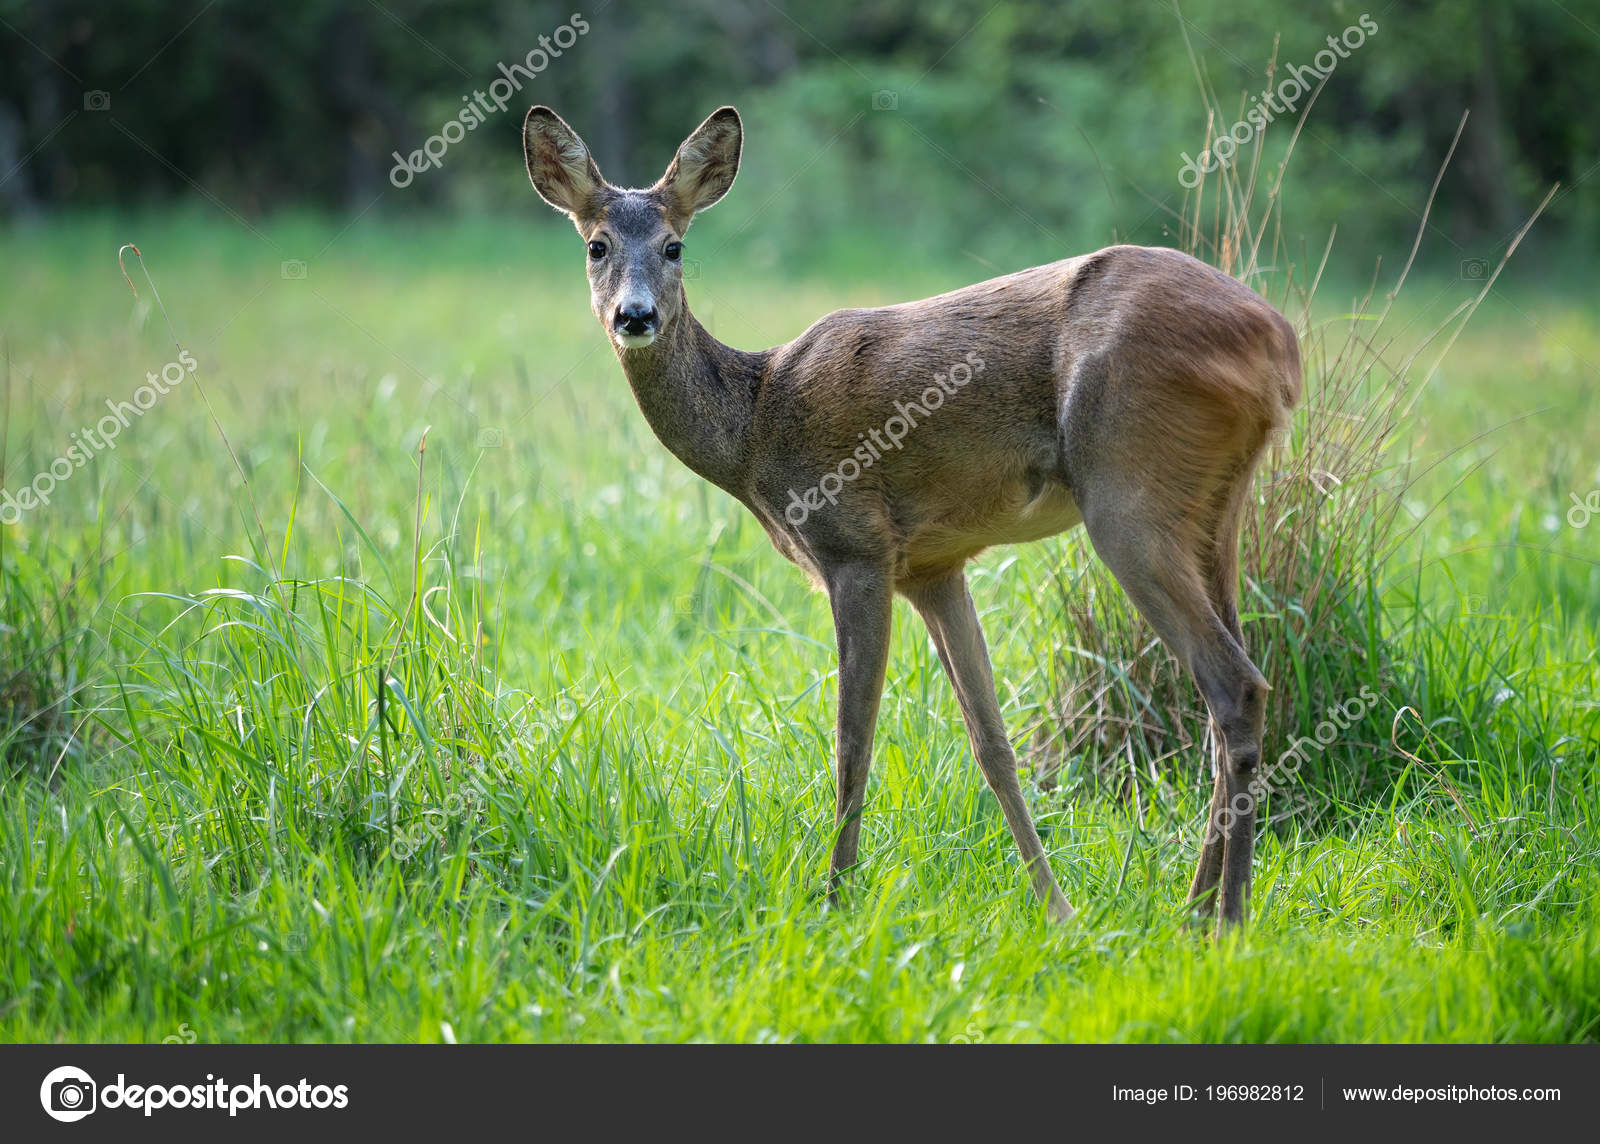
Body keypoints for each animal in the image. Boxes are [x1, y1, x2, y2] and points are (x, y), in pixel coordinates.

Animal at [522, 104, 1302, 932]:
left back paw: (1226, 917)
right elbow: (992, 743)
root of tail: (1281, 343)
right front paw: (1057, 909)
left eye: (676, 245)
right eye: (597, 245)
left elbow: (851, 742)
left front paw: (835, 902)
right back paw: (1194, 907)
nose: (634, 316)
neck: (755, 427)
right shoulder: (933, 566)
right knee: (1230, 690)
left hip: (1128, 492)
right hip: (1216, 509)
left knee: (1233, 685)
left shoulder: (854, 546)